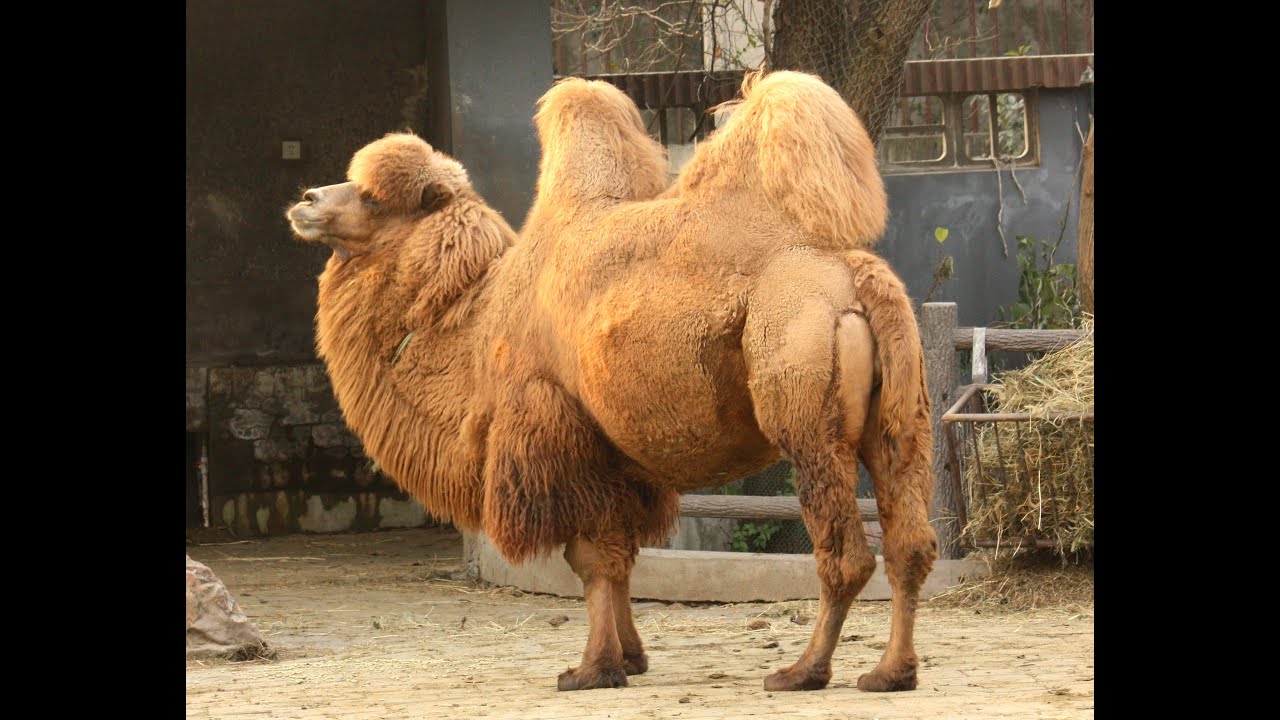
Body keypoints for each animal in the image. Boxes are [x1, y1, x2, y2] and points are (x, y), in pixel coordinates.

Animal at [286, 70, 937, 694]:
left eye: (372, 198)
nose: (306, 200)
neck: (476, 327)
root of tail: (856, 276)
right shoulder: (619, 456)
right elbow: (620, 559)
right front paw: (631, 656)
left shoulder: (558, 434)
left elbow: (591, 559)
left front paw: (591, 669)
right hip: (901, 423)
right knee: (910, 544)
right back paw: (890, 673)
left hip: (805, 409)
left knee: (846, 554)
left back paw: (803, 671)